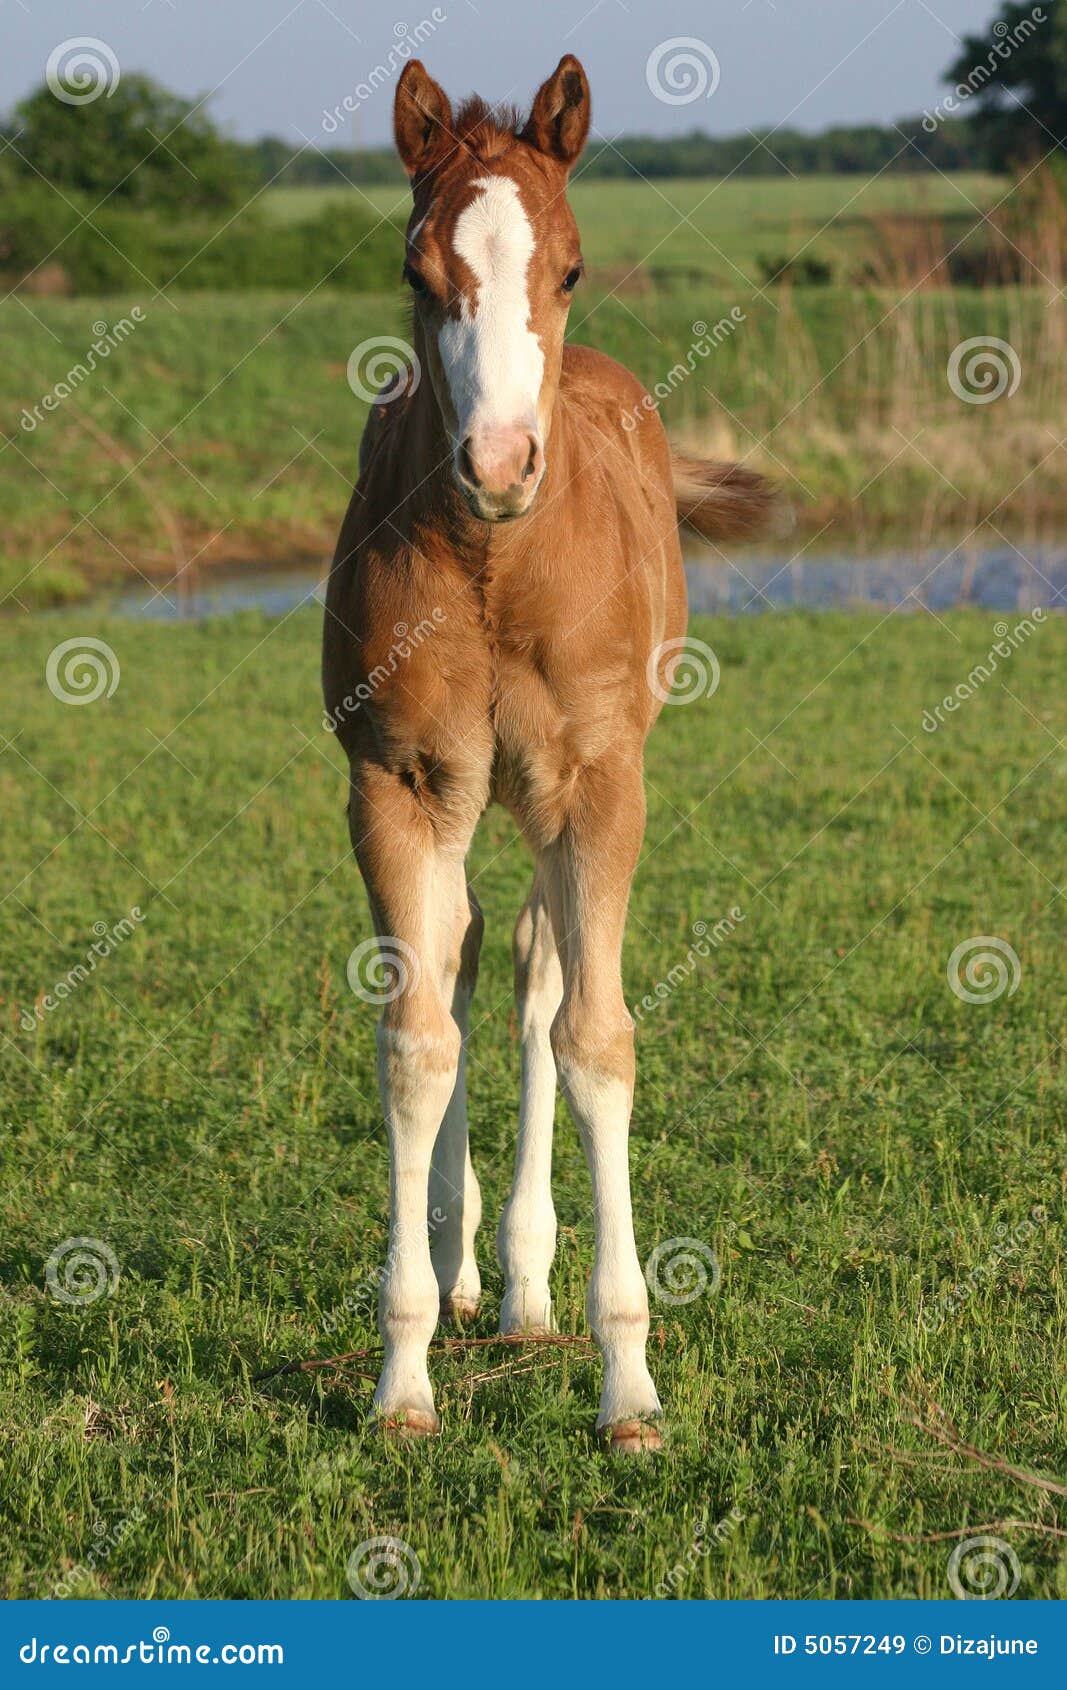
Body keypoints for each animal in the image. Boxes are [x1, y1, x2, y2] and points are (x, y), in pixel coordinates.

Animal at [322, 54, 773, 1451]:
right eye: (415, 270)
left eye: (568, 268)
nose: (499, 462)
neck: (488, 564)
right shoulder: (396, 785)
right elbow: (415, 1039)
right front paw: (402, 1374)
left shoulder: (593, 786)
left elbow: (594, 1037)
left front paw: (626, 1381)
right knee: (471, 959)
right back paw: (472, 1271)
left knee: (530, 965)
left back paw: (526, 1283)